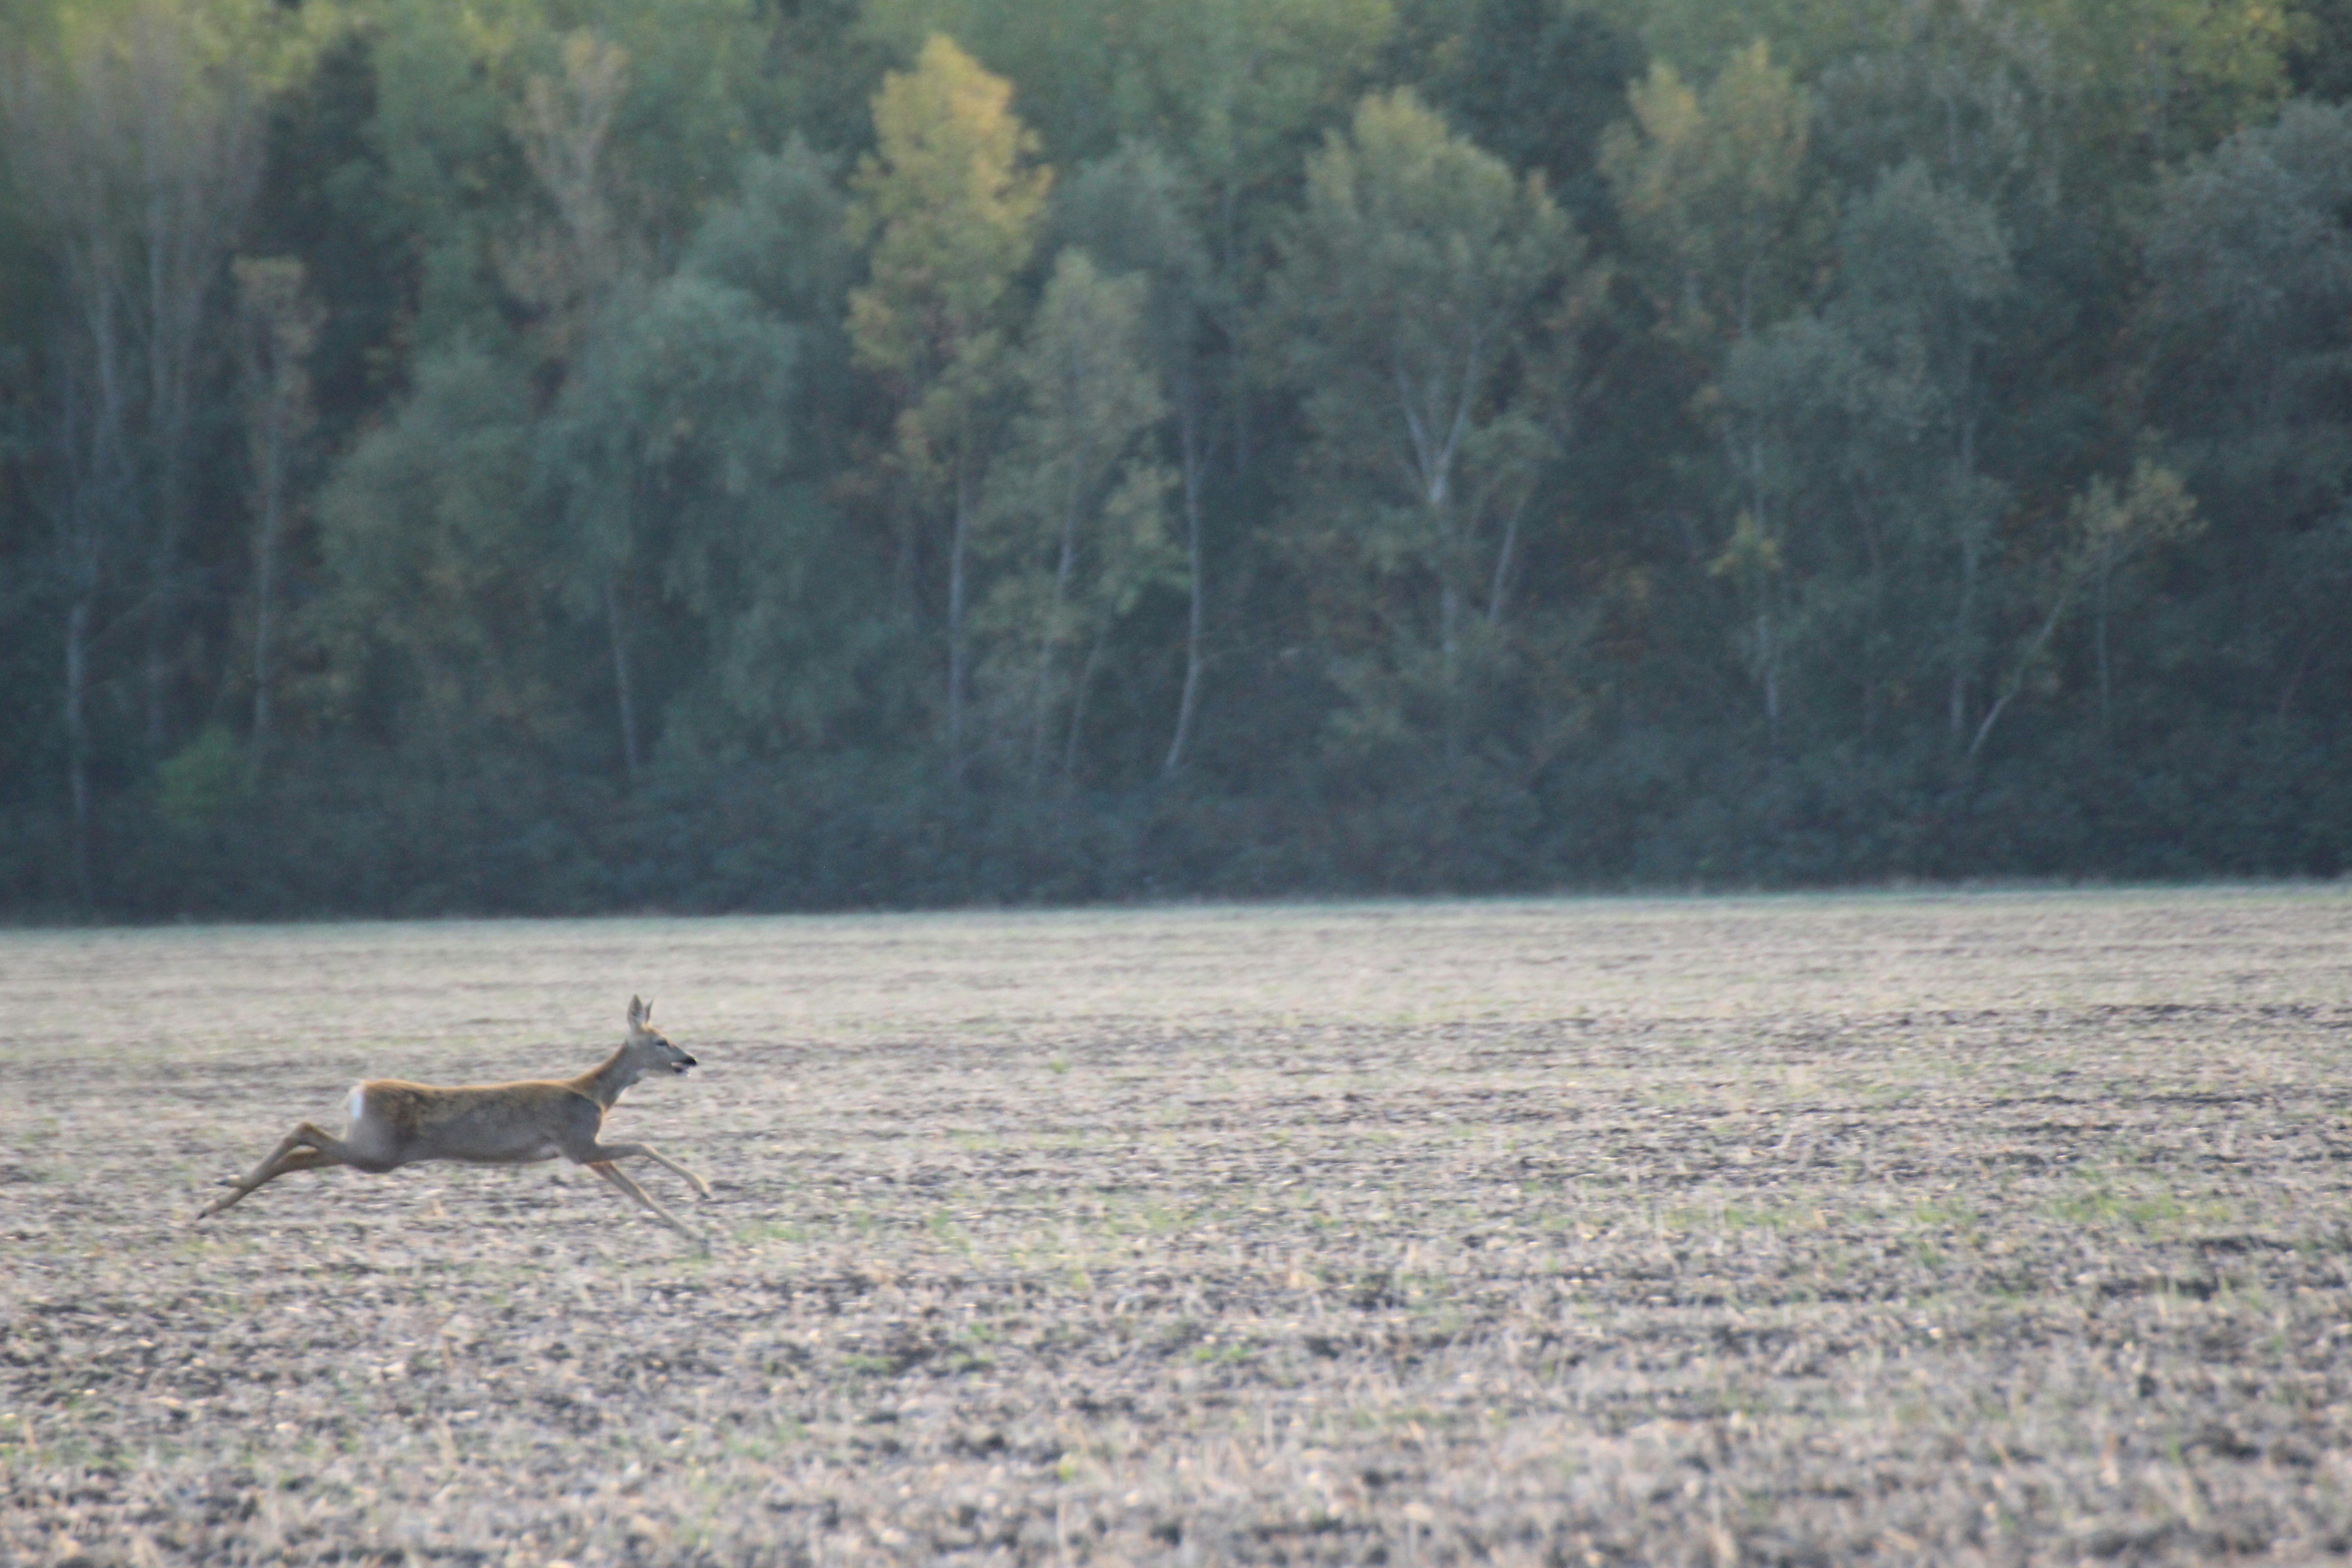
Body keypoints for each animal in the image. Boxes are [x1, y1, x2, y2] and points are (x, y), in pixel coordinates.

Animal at [196, 996, 714, 1244]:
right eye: (662, 1040)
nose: (689, 1060)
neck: (593, 1095)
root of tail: (358, 1092)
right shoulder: (577, 1143)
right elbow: (645, 1148)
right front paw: (703, 1189)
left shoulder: (584, 1153)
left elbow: (636, 1191)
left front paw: (695, 1234)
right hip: (376, 1151)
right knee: (302, 1129)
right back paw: (223, 1187)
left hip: (371, 1151)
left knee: (300, 1153)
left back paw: (216, 1200)